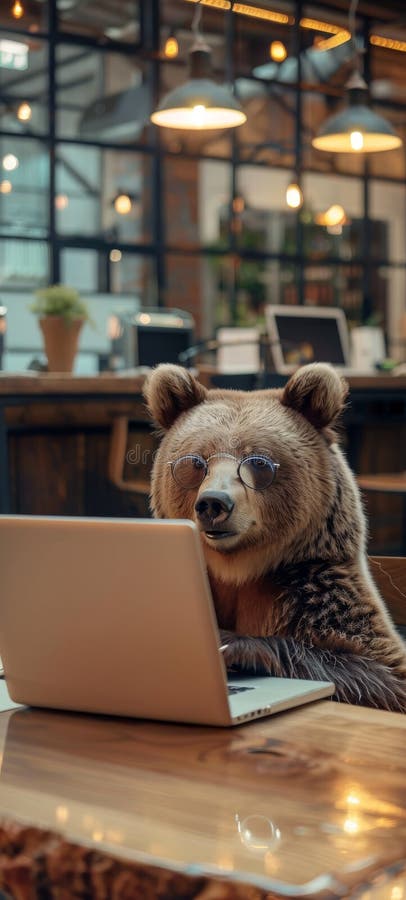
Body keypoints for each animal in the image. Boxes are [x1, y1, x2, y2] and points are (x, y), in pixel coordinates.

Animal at [144, 361, 406, 713]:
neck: (238, 570)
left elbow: (381, 673)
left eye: (258, 461)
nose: (213, 503)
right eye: (196, 461)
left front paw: (230, 642)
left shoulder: (312, 590)